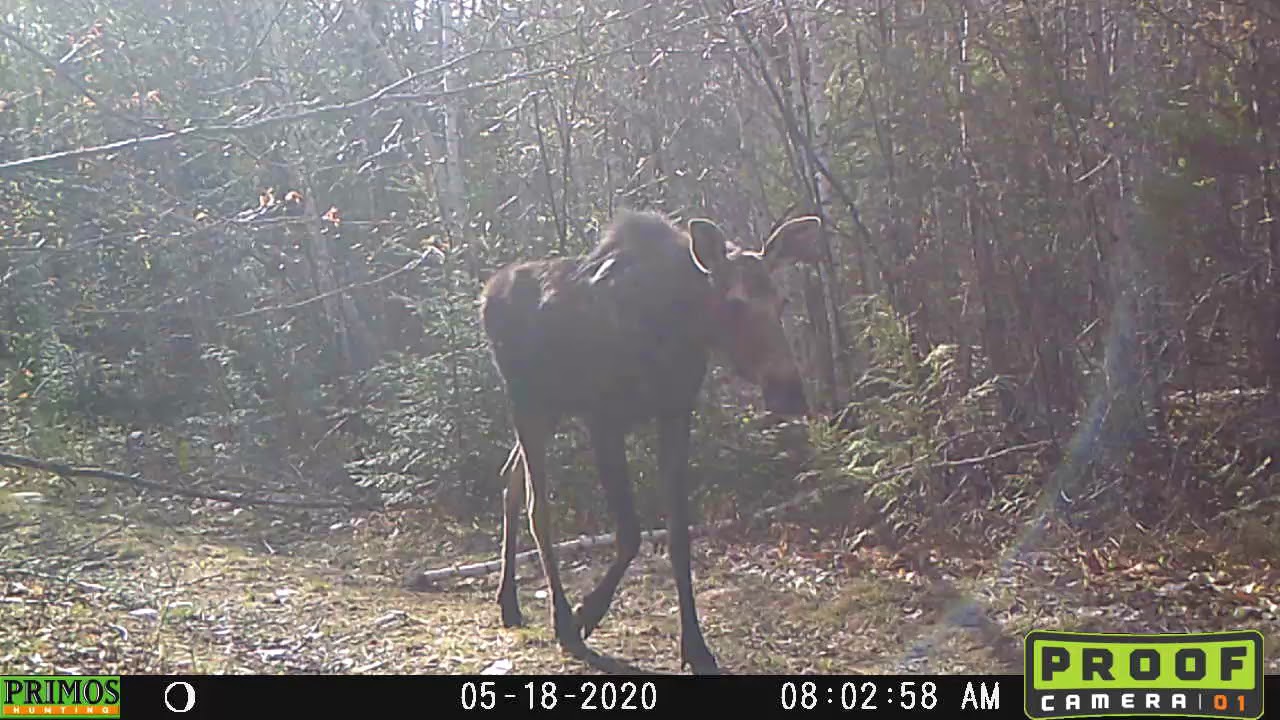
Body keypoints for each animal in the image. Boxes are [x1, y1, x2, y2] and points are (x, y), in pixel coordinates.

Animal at [478, 208, 822, 674]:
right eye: (734, 302)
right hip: (527, 402)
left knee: (509, 478)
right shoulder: (604, 420)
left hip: (548, 409)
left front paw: (696, 646)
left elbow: (677, 535)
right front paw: (586, 615)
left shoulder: (674, 413)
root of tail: (486, 293)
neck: (678, 332)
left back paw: (509, 603)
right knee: (537, 507)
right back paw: (561, 620)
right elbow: (630, 532)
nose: (790, 392)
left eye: (782, 302)